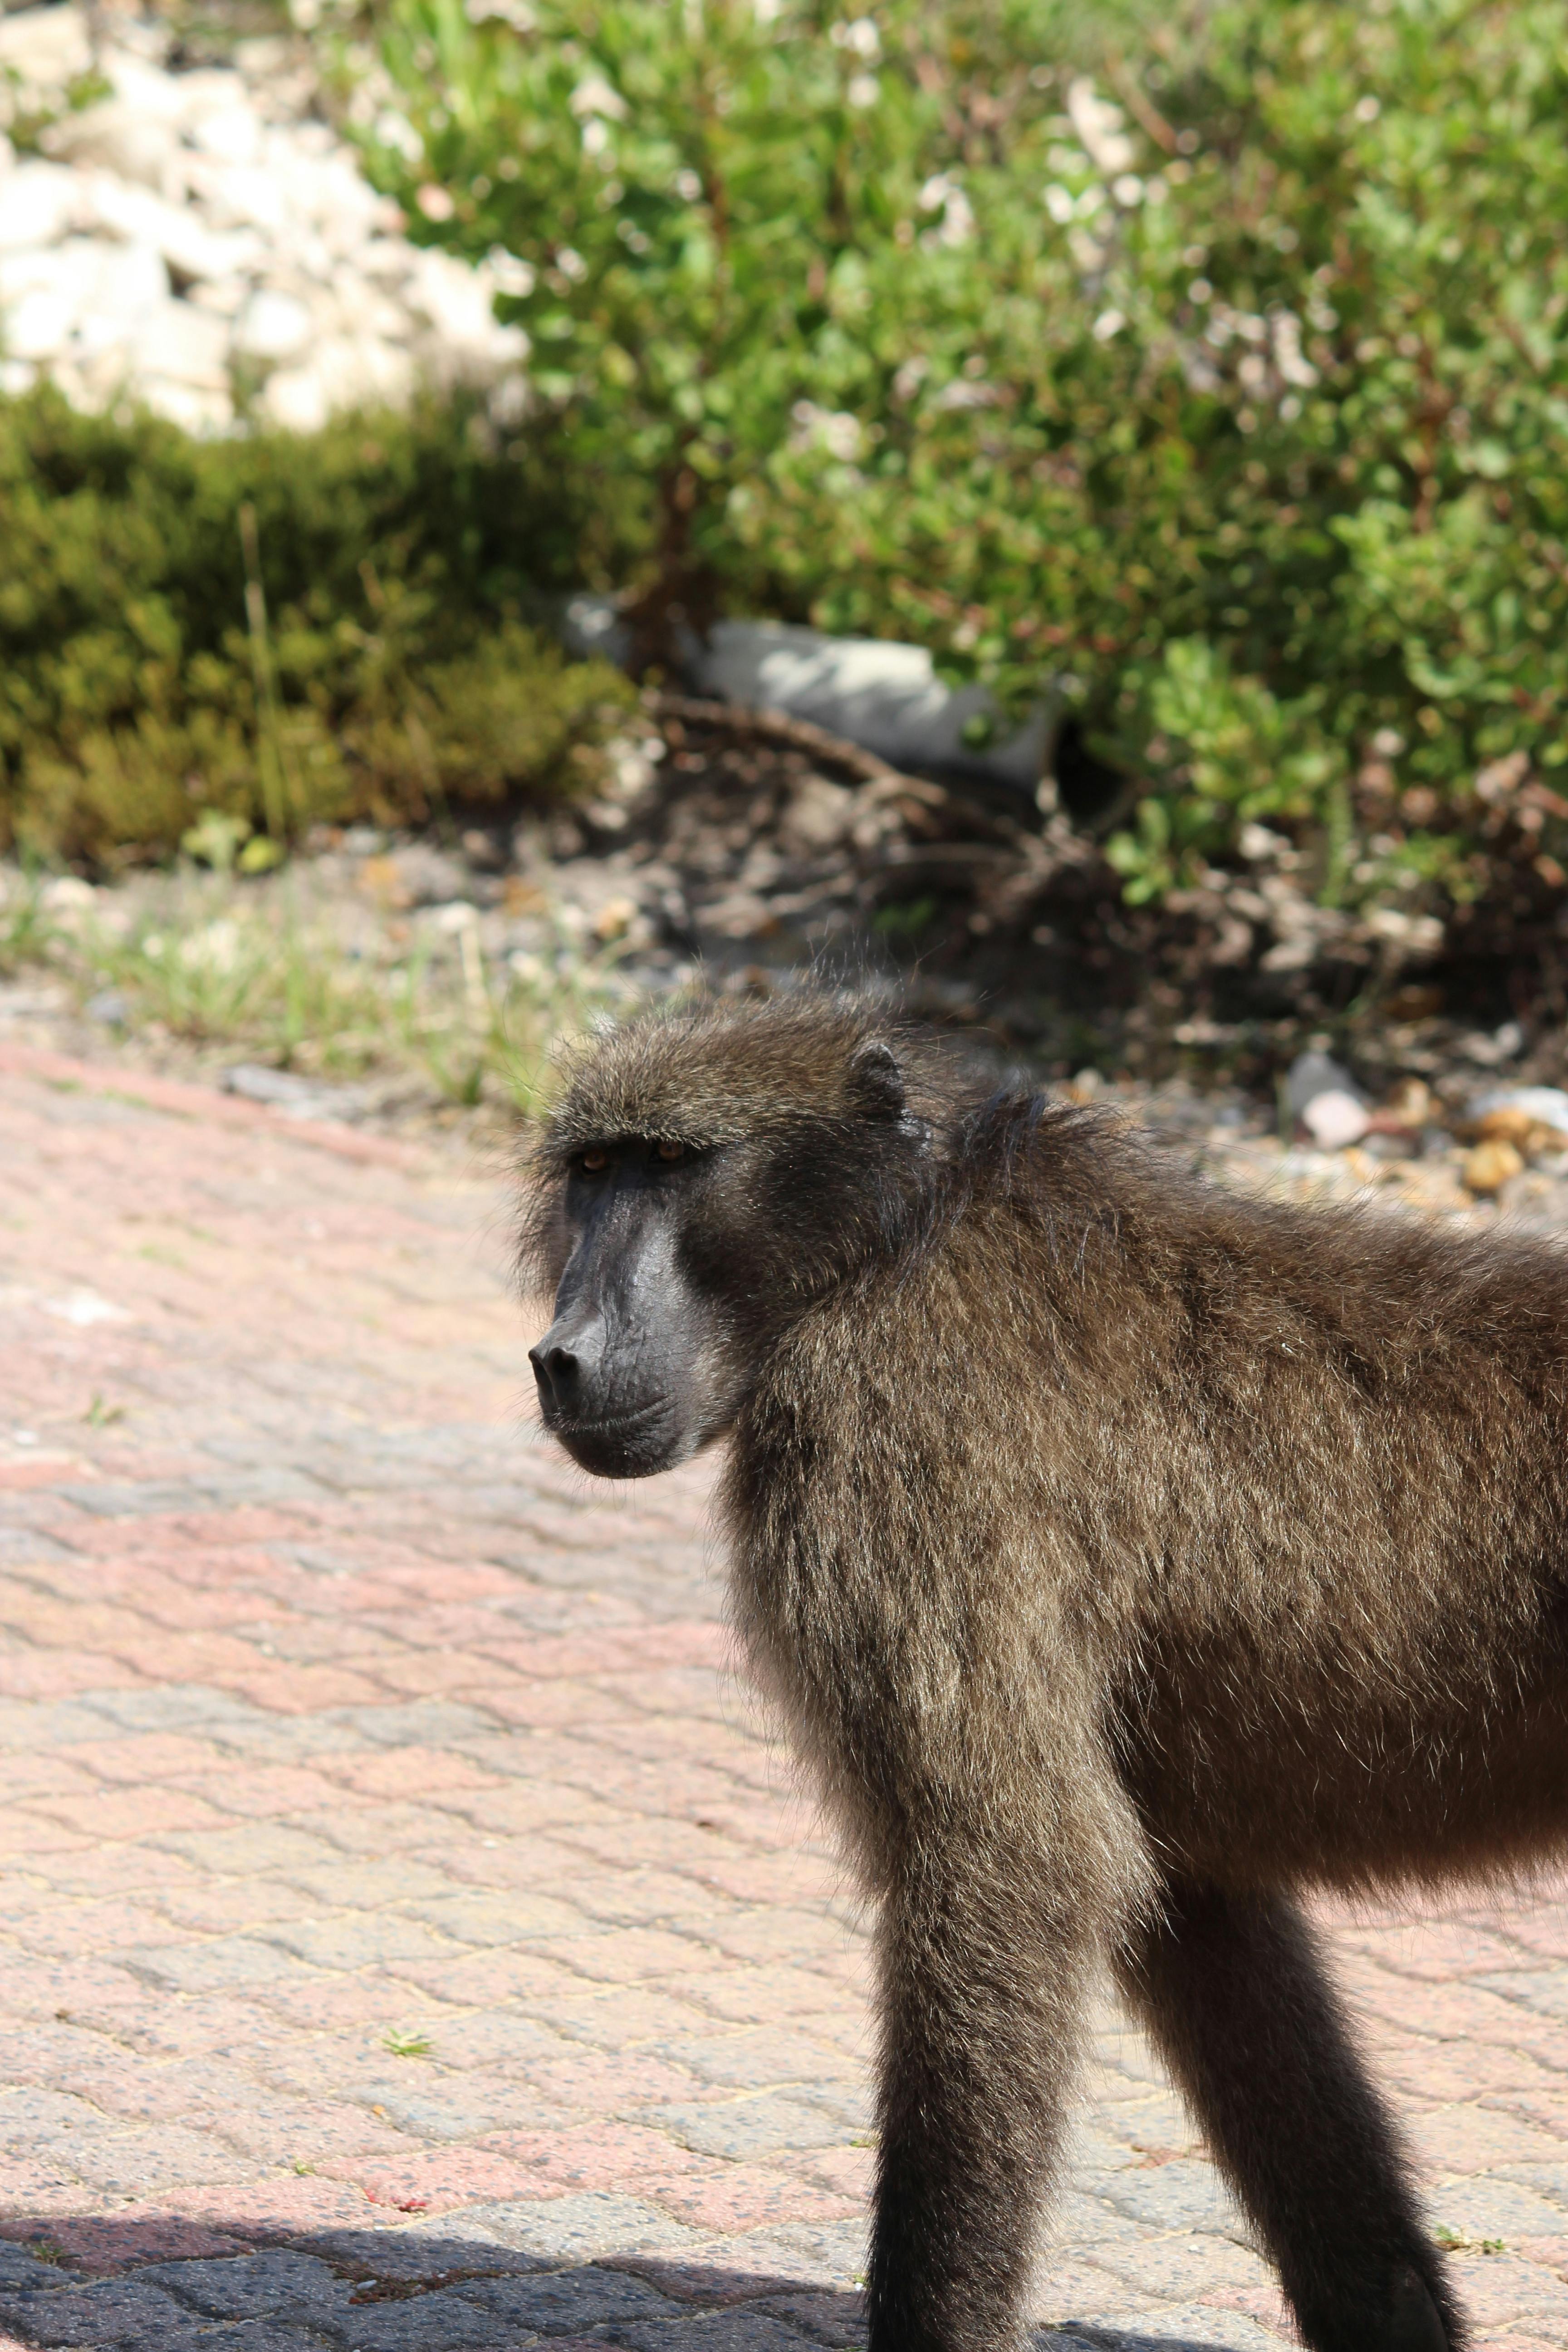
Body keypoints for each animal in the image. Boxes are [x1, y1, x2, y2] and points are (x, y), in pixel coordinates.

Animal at [520, 989, 1568, 2352]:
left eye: (671, 1163)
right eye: (594, 1172)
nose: (563, 1355)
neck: (887, 1249)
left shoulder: (894, 1447)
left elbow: (1016, 1858)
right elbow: (1197, 1928)